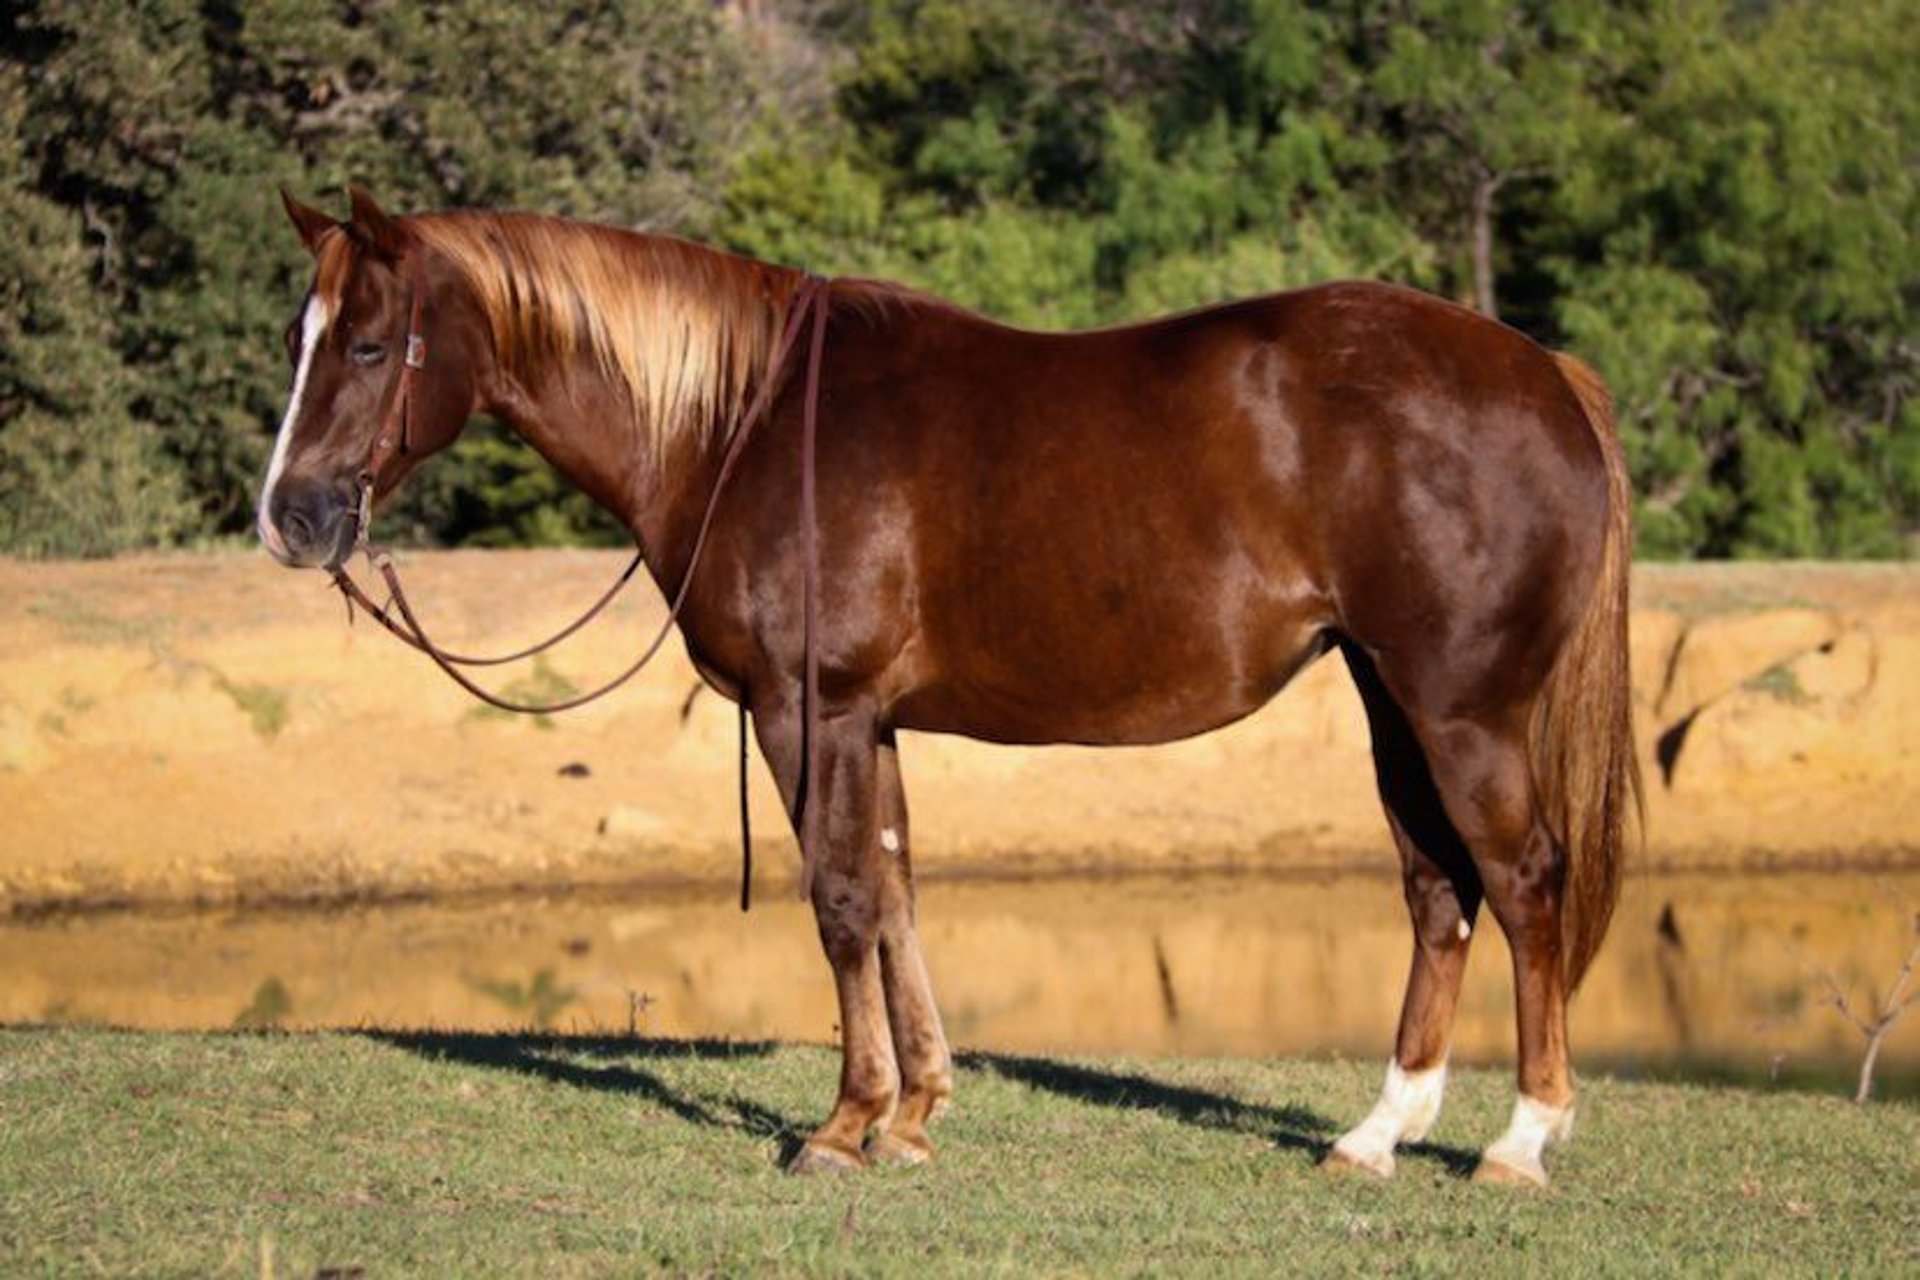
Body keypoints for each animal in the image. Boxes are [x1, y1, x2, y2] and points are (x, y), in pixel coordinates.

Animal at [260, 187, 1638, 1188]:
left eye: (370, 342)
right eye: (300, 339)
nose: (289, 518)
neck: (741, 420)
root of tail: (1548, 375)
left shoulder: (809, 707)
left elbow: (838, 901)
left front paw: (844, 1123)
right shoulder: (871, 721)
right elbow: (895, 887)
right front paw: (915, 1109)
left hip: (1459, 711)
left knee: (1522, 880)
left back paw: (1520, 1139)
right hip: (1391, 700)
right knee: (1438, 890)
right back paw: (1376, 1132)